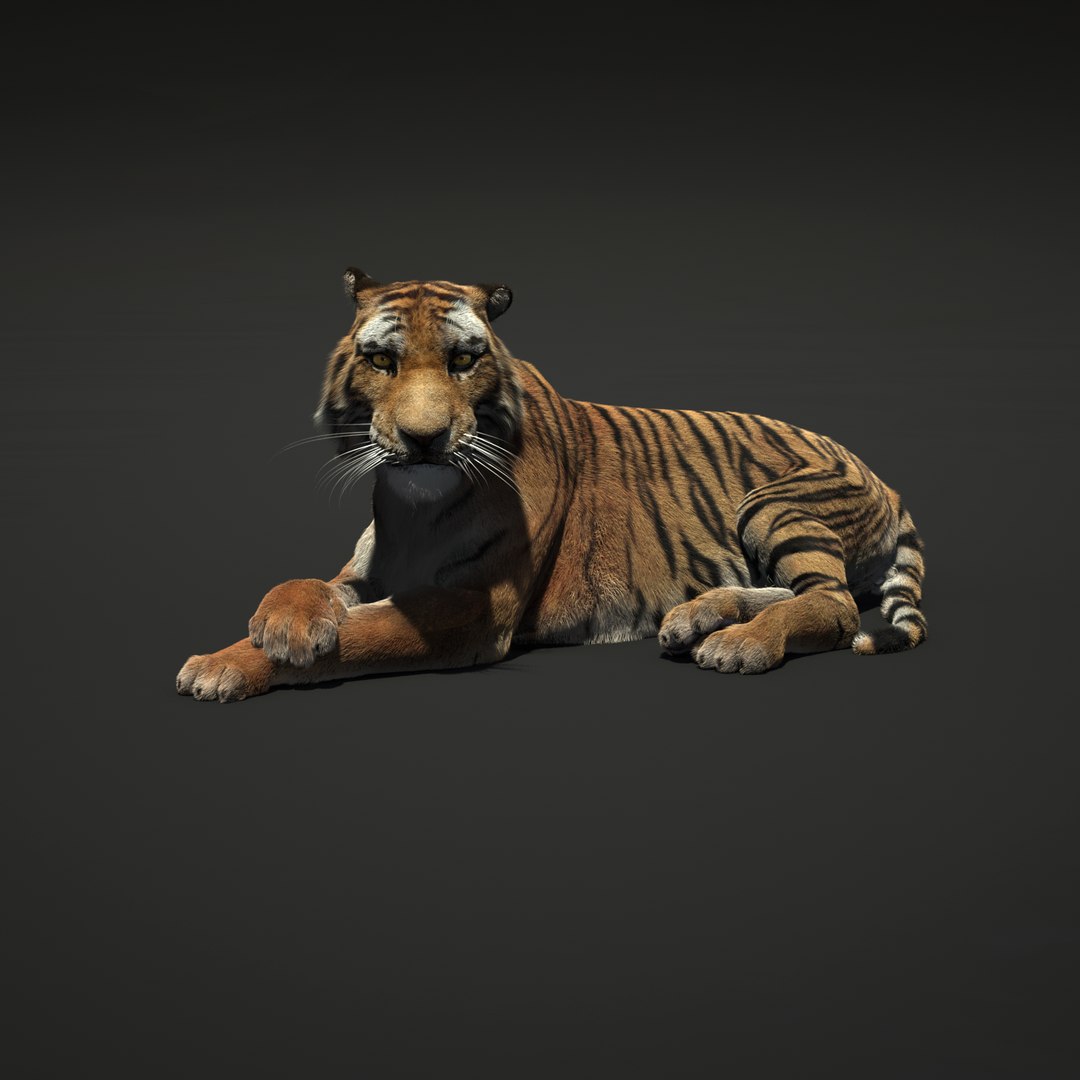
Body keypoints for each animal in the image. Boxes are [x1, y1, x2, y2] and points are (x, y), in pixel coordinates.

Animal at [176, 268, 927, 702]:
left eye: (464, 360)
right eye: (382, 361)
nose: (423, 439)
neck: (412, 506)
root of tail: (887, 481)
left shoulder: (469, 608)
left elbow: (361, 635)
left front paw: (224, 667)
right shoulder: (368, 568)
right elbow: (309, 584)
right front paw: (278, 624)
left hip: (775, 504)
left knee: (832, 604)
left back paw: (736, 644)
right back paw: (695, 617)